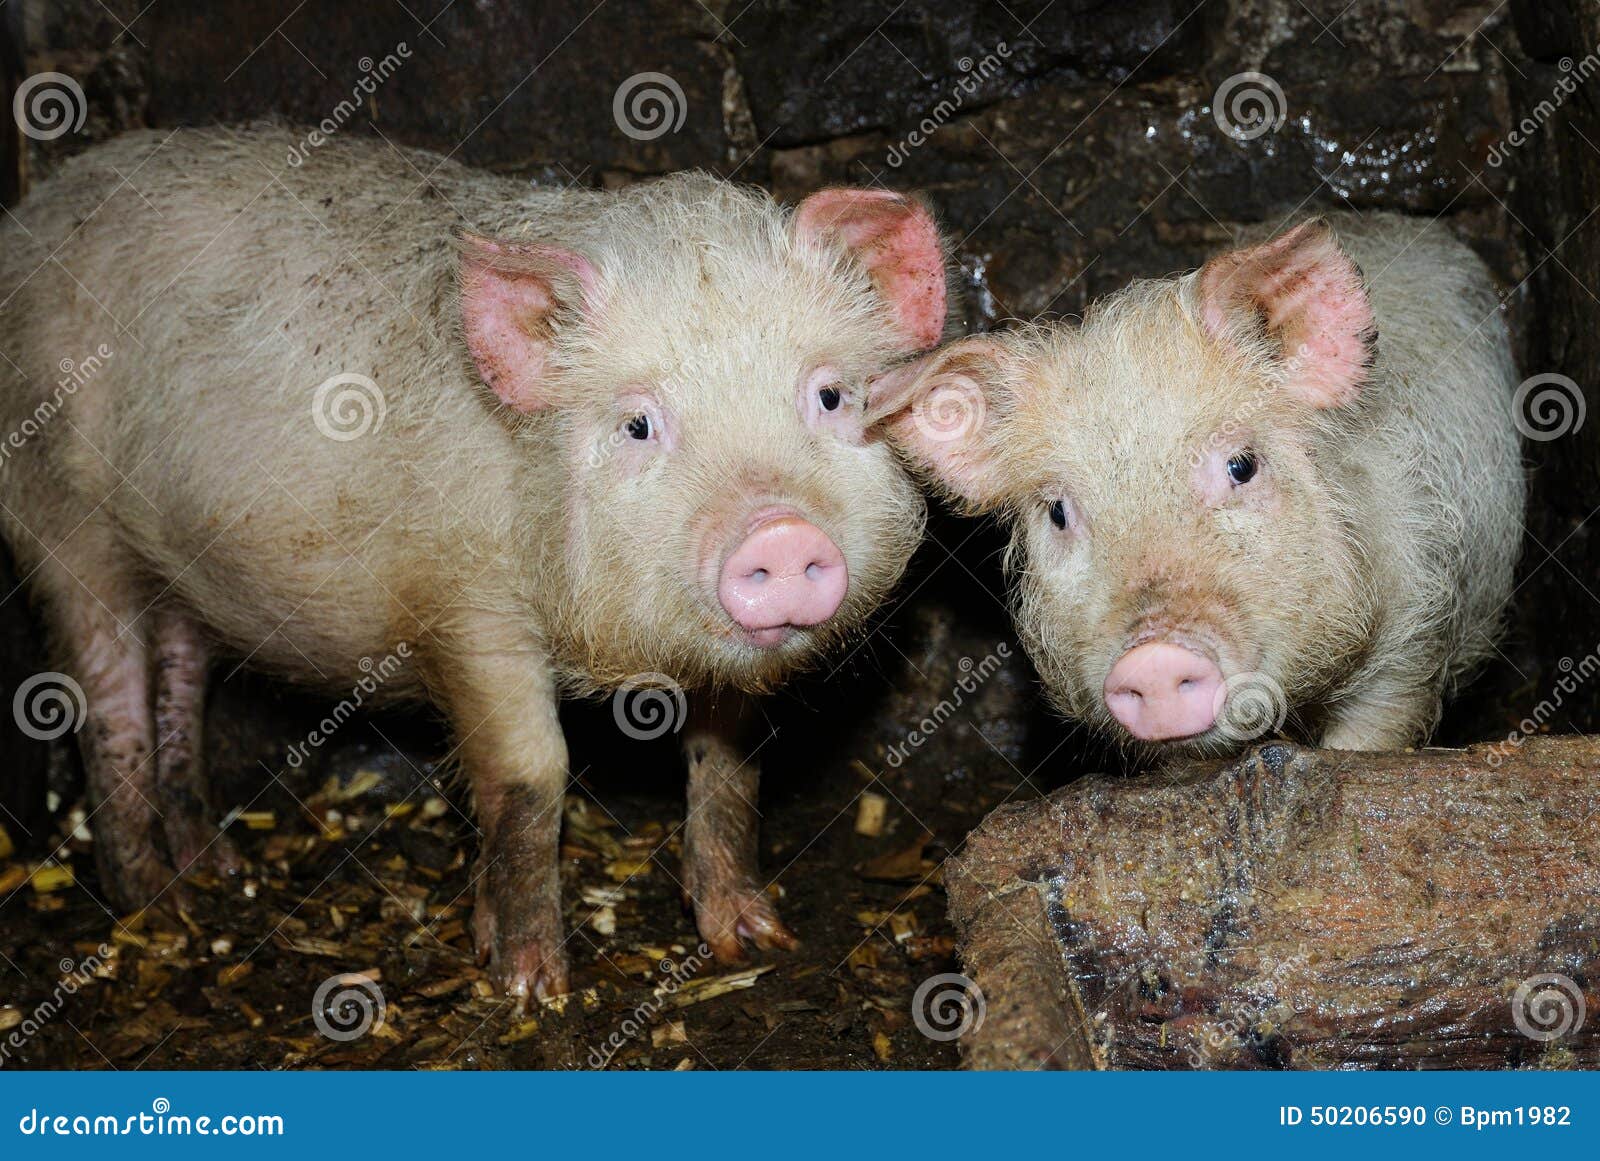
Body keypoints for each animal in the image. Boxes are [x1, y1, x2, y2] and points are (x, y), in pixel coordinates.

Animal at [0, 124, 953, 1001]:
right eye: (638, 424)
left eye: (829, 395)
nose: (778, 533)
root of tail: (30, 213)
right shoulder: (465, 606)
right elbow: (529, 774)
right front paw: (531, 985)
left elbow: (728, 768)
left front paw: (753, 939)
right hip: (58, 508)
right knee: (105, 690)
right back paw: (158, 904)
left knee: (179, 666)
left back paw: (215, 867)